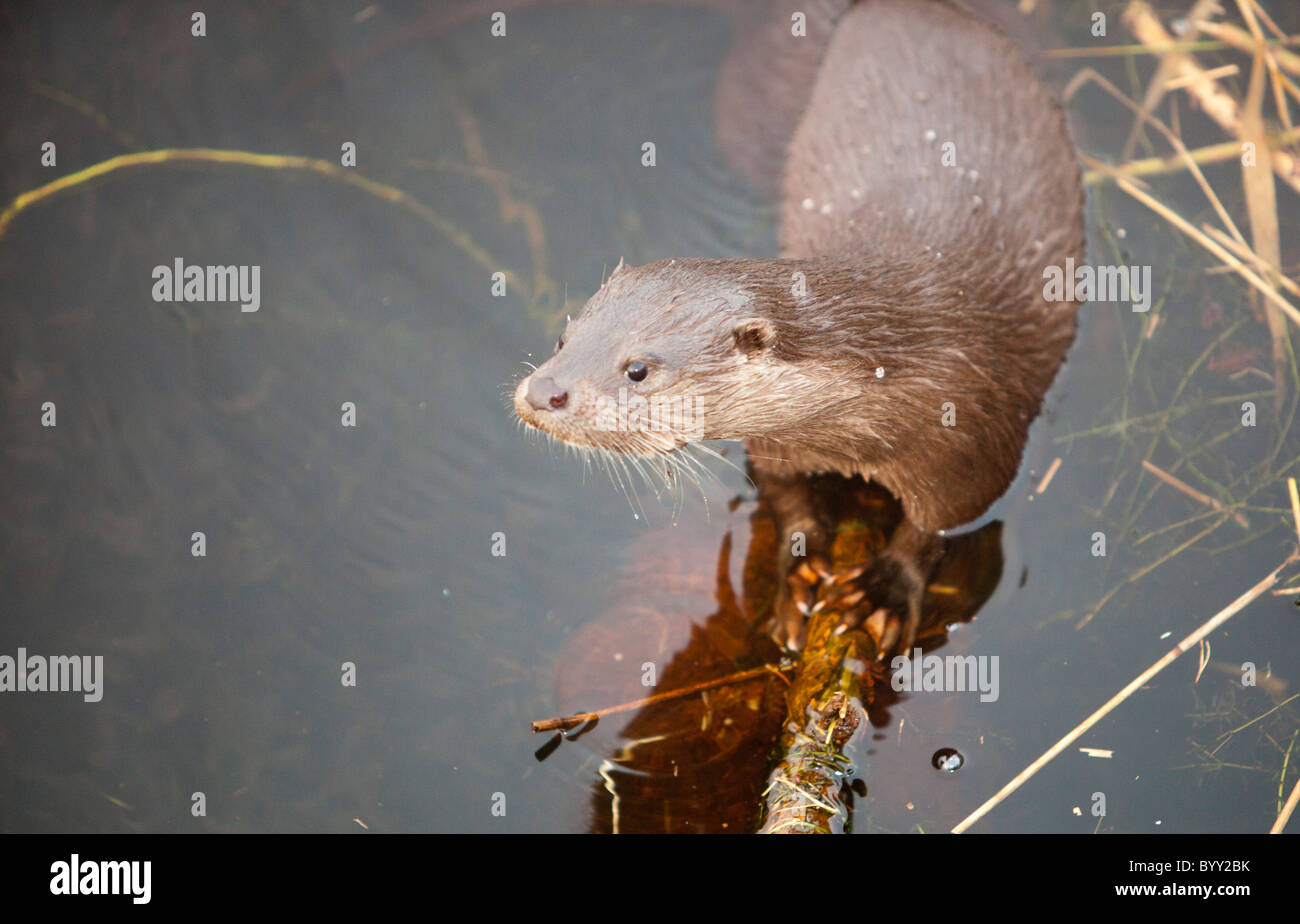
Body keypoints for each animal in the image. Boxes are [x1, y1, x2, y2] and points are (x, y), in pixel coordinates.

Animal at [513, 0, 1085, 655]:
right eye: (564, 338)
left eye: (638, 369)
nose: (542, 391)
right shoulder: (775, 442)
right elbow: (781, 492)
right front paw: (798, 568)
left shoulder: (973, 446)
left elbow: (937, 527)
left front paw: (884, 591)